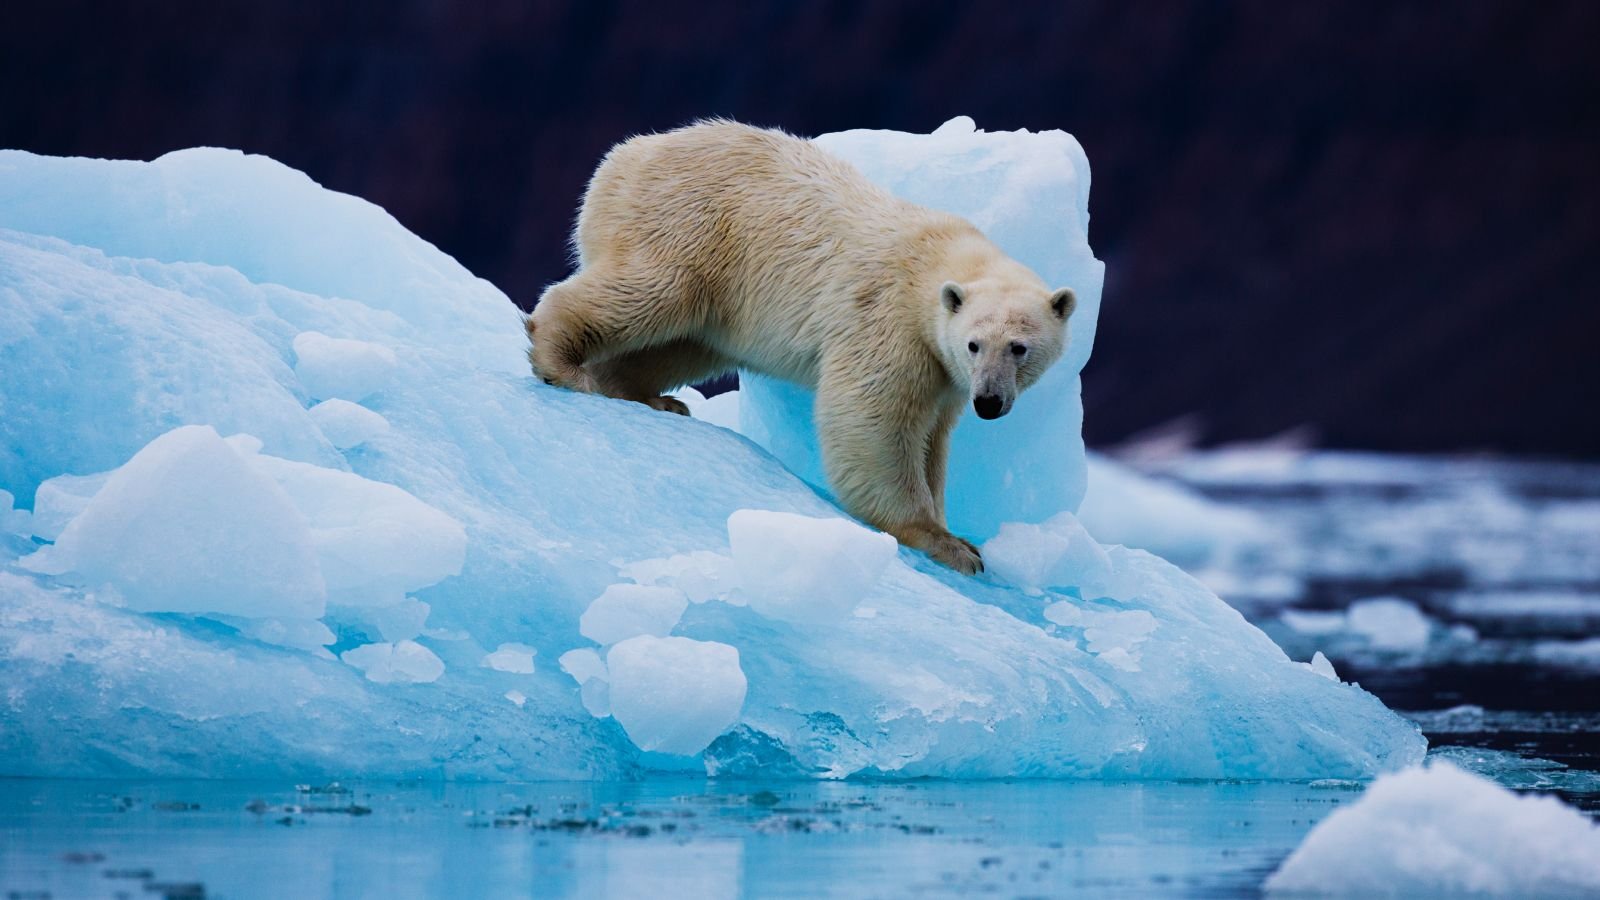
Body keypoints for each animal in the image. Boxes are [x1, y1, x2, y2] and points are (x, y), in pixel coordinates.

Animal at [526, 120, 1077, 574]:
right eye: (974, 344)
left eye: (1020, 348)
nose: (989, 402)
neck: (936, 258)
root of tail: (625, 156)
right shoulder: (890, 323)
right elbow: (871, 417)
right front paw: (948, 543)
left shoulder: (944, 375)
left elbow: (932, 441)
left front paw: (953, 527)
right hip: (689, 228)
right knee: (647, 293)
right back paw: (562, 362)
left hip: (721, 299)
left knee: (681, 343)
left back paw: (651, 397)